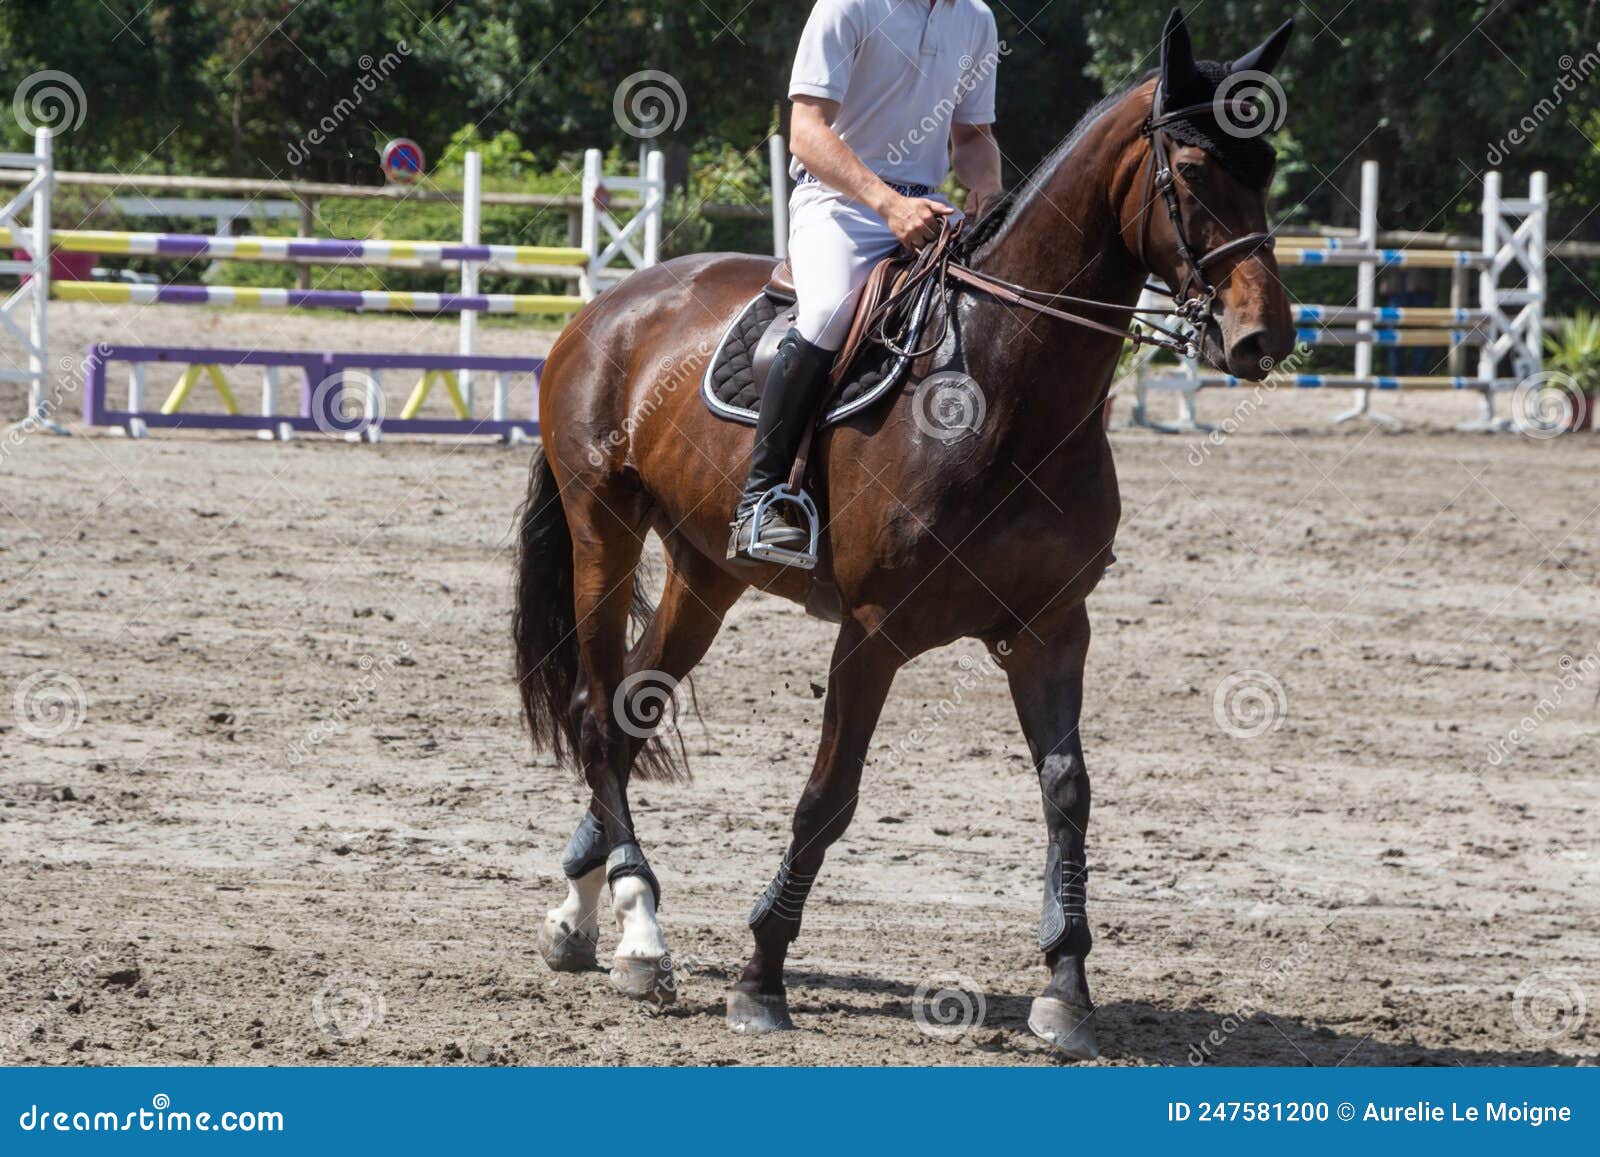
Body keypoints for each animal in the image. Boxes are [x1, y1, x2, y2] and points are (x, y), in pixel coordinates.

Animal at [513, 8, 1295, 1058]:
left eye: (1269, 166)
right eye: (1195, 171)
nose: (1264, 338)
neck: (1007, 387)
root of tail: (607, 306)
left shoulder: (1052, 627)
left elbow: (1068, 791)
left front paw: (1068, 990)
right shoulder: (875, 631)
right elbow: (828, 794)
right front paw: (762, 975)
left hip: (704, 569)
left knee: (633, 708)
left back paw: (583, 917)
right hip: (604, 527)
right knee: (598, 715)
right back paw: (642, 929)